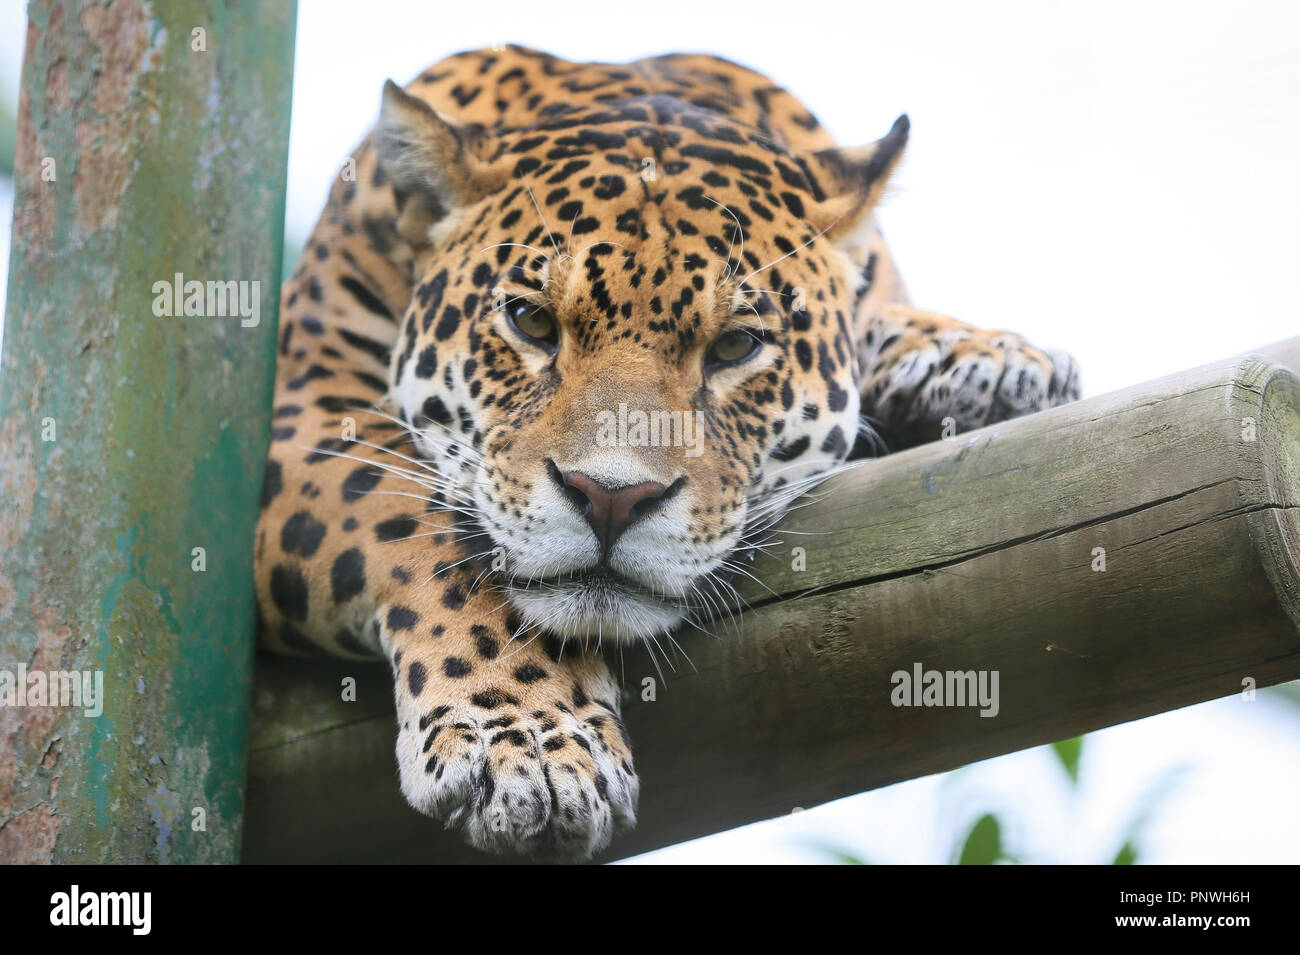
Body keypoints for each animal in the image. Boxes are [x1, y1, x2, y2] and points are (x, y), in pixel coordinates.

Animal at [255, 44, 1080, 861]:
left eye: (736, 346)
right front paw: (526, 736)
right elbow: (416, 524)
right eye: (530, 321)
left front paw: (983, 356)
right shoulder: (291, 420)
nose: (610, 497)